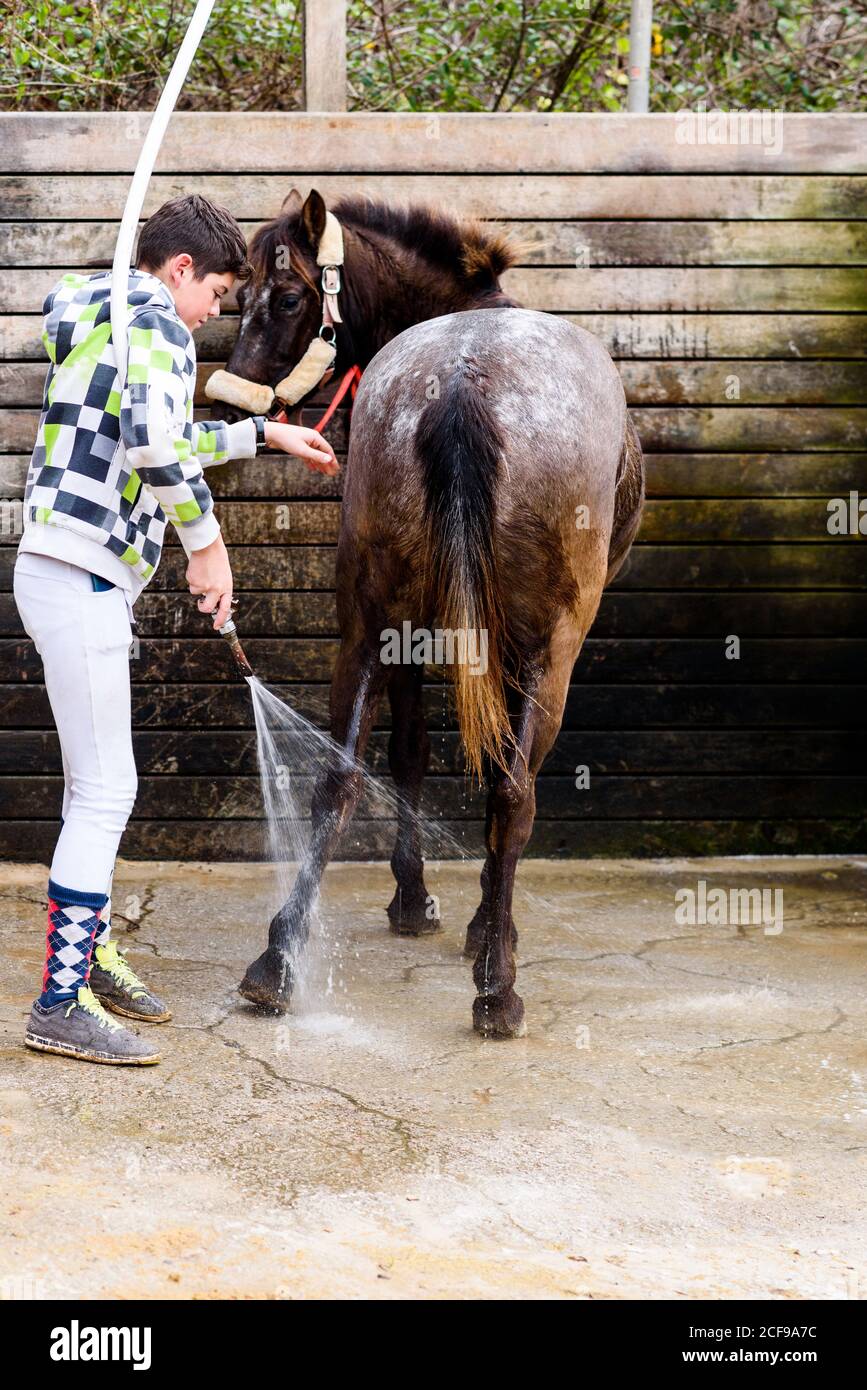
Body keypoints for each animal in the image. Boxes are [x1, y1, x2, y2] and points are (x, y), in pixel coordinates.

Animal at [218, 188, 644, 1038]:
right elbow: (477, 773)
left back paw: (277, 961)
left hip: (370, 618)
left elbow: (411, 754)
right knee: (513, 792)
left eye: (286, 297)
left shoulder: (412, 631)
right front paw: (464, 918)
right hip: (550, 643)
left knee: (339, 778)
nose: (228, 400)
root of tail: (465, 379)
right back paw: (496, 985)